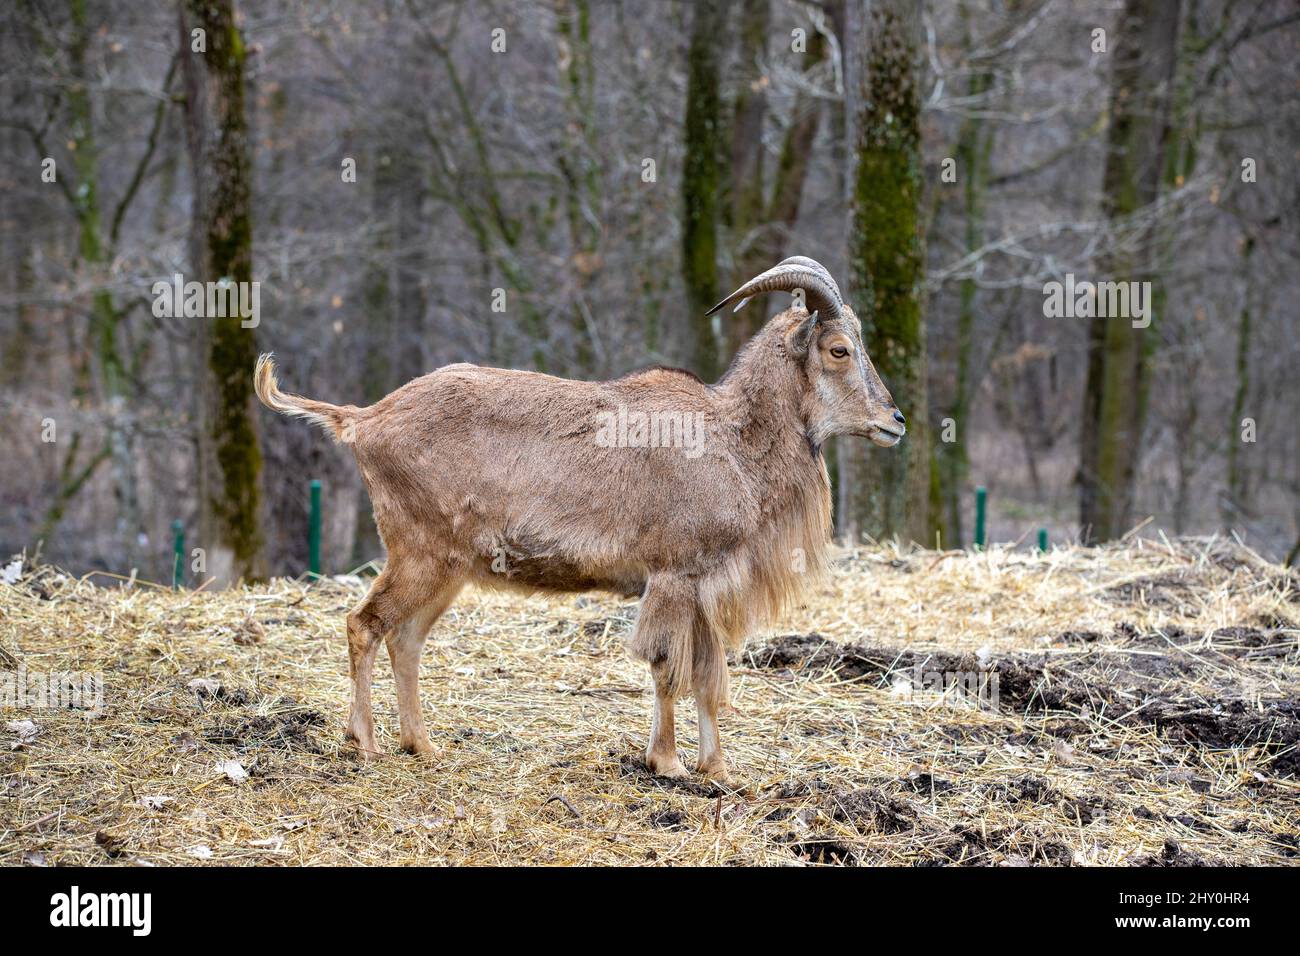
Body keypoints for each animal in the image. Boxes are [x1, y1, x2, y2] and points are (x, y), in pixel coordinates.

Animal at [254, 257, 905, 781]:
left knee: (406, 638)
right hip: (418, 554)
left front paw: (715, 768)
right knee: (364, 624)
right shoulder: (674, 578)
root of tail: (363, 419)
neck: (733, 443)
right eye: (839, 349)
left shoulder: (702, 590)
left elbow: (707, 678)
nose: (894, 421)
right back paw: (364, 743)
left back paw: (423, 745)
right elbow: (668, 669)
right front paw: (667, 763)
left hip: (448, 569)